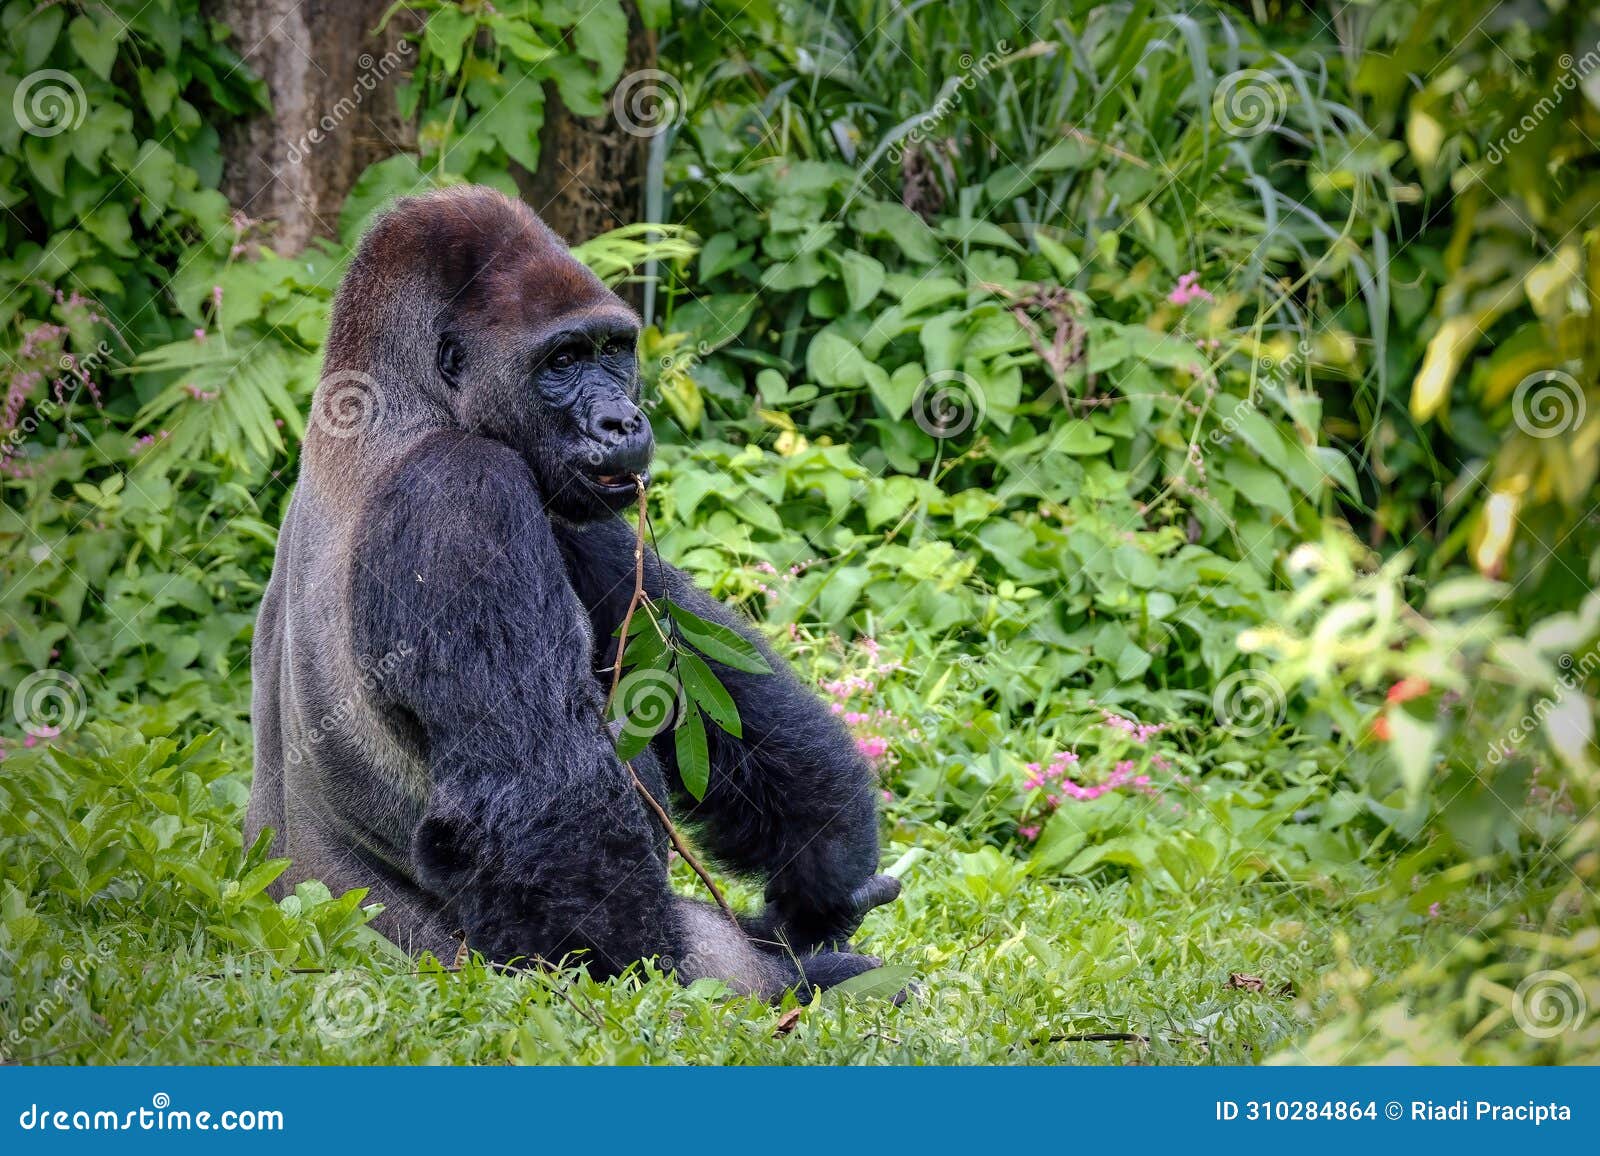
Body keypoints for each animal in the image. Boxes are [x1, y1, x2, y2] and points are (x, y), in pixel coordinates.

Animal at [245, 185, 900, 999]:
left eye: (612, 350)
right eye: (562, 360)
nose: (622, 420)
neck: (393, 403)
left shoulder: (564, 499)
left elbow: (701, 680)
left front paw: (825, 875)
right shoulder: (463, 494)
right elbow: (548, 821)